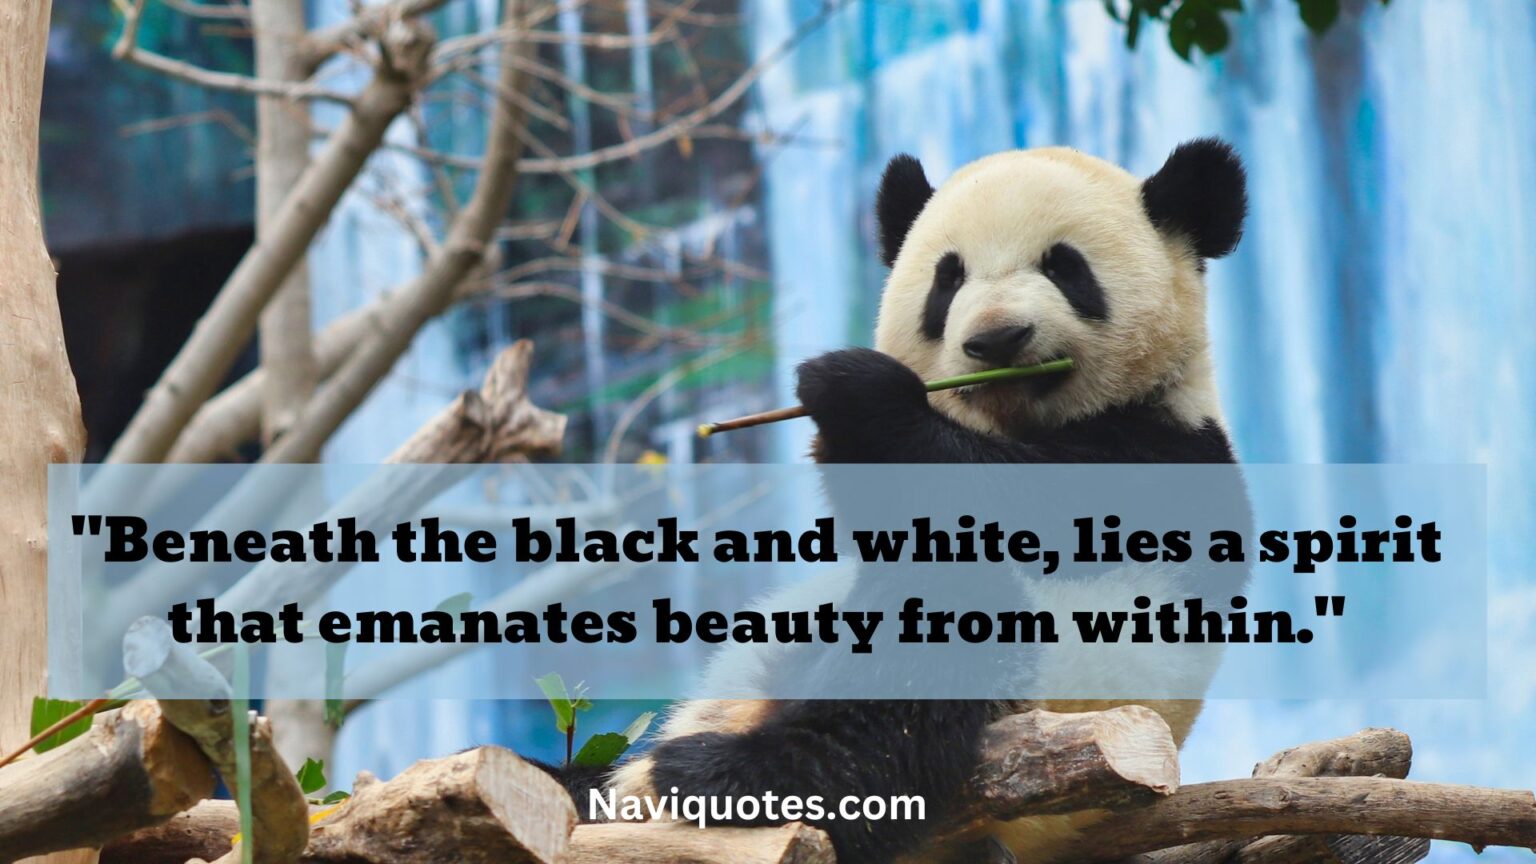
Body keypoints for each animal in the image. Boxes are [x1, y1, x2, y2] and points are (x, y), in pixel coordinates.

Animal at [578, 138, 1250, 864]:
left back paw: (716, 775)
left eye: (1064, 266)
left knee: (912, 680)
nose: (997, 339)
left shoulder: (1163, 455)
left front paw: (850, 389)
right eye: (947, 278)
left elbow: (992, 505)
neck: (1012, 417)